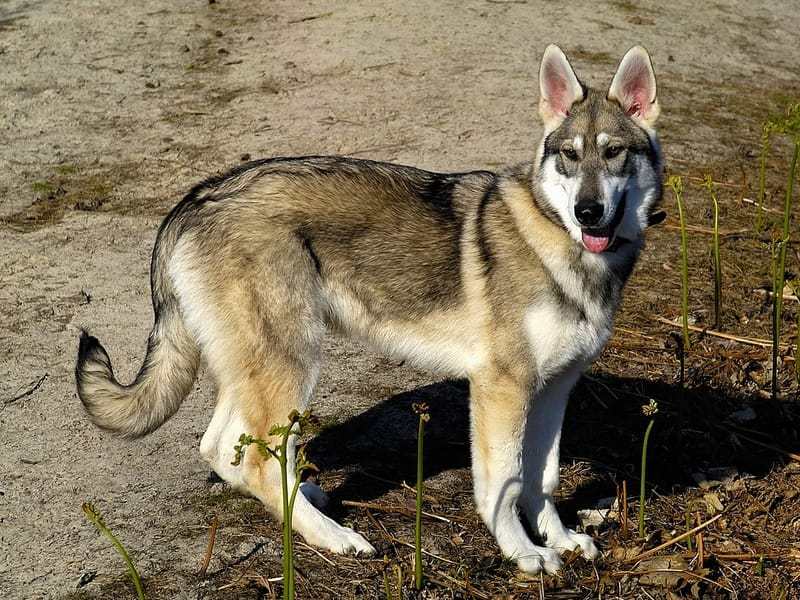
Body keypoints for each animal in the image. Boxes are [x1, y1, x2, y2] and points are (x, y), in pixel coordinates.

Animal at [75, 45, 664, 572]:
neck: (559, 240)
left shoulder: (554, 389)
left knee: (225, 451)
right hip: (293, 368)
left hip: (256, 373)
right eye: (570, 155)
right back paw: (337, 538)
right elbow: (505, 485)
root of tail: (195, 197)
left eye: (614, 153)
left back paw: (308, 500)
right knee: (261, 463)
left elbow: (542, 479)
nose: (588, 211)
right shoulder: (503, 389)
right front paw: (523, 554)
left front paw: (562, 540)